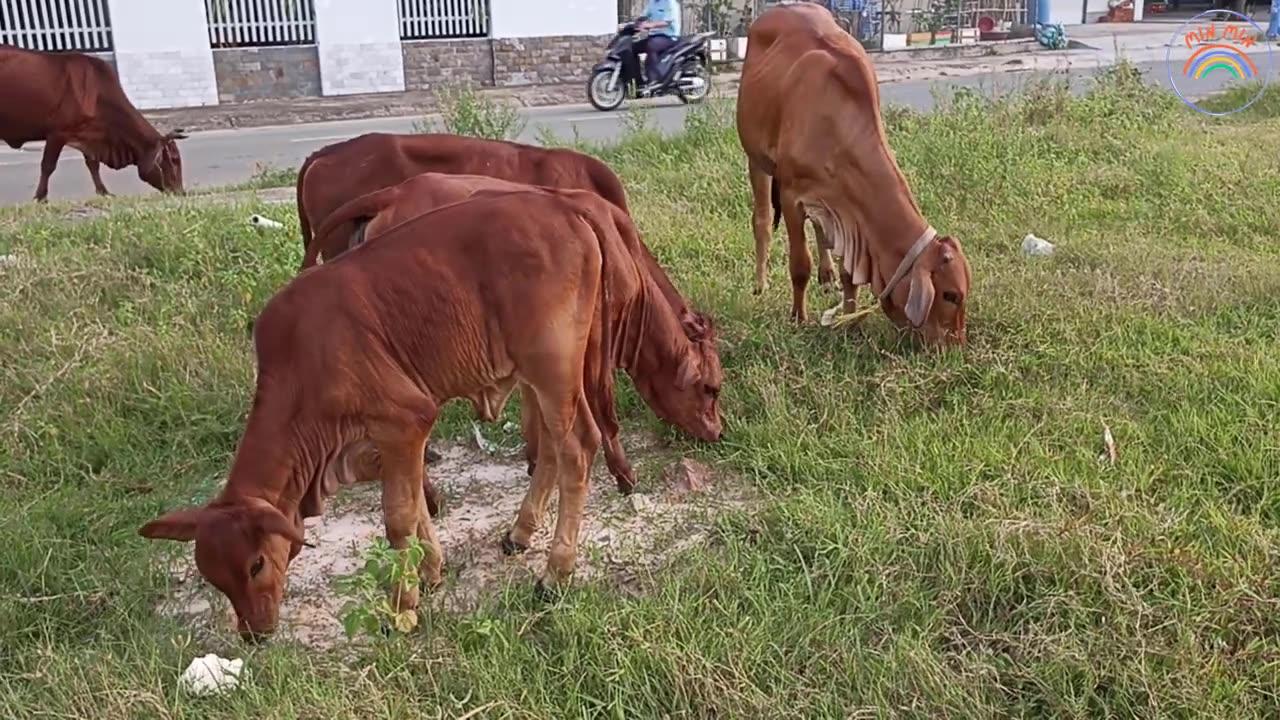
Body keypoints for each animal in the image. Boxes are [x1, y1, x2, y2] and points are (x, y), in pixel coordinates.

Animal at [0, 46, 187, 201]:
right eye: (175, 160)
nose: (181, 192)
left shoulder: (89, 135)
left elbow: (93, 164)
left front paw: (103, 192)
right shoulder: (57, 133)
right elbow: (48, 166)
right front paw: (40, 197)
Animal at [303, 171, 717, 496]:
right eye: (712, 388)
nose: (717, 432)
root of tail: (396, 191)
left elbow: (534, 401)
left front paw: (534, 459)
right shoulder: (591, 340)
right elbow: (604, 408)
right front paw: (624, 476)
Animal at [736, 4, 972, 345]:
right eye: (951, 295)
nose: (955, 347)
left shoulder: (846, 213)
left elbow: (849, 271)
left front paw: (850, 321)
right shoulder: (793, 197)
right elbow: (799, 265)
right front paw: (799, 318)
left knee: (819, 232)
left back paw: (826, 277)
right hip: (756, 160)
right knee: (763, 221)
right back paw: (761, 284)